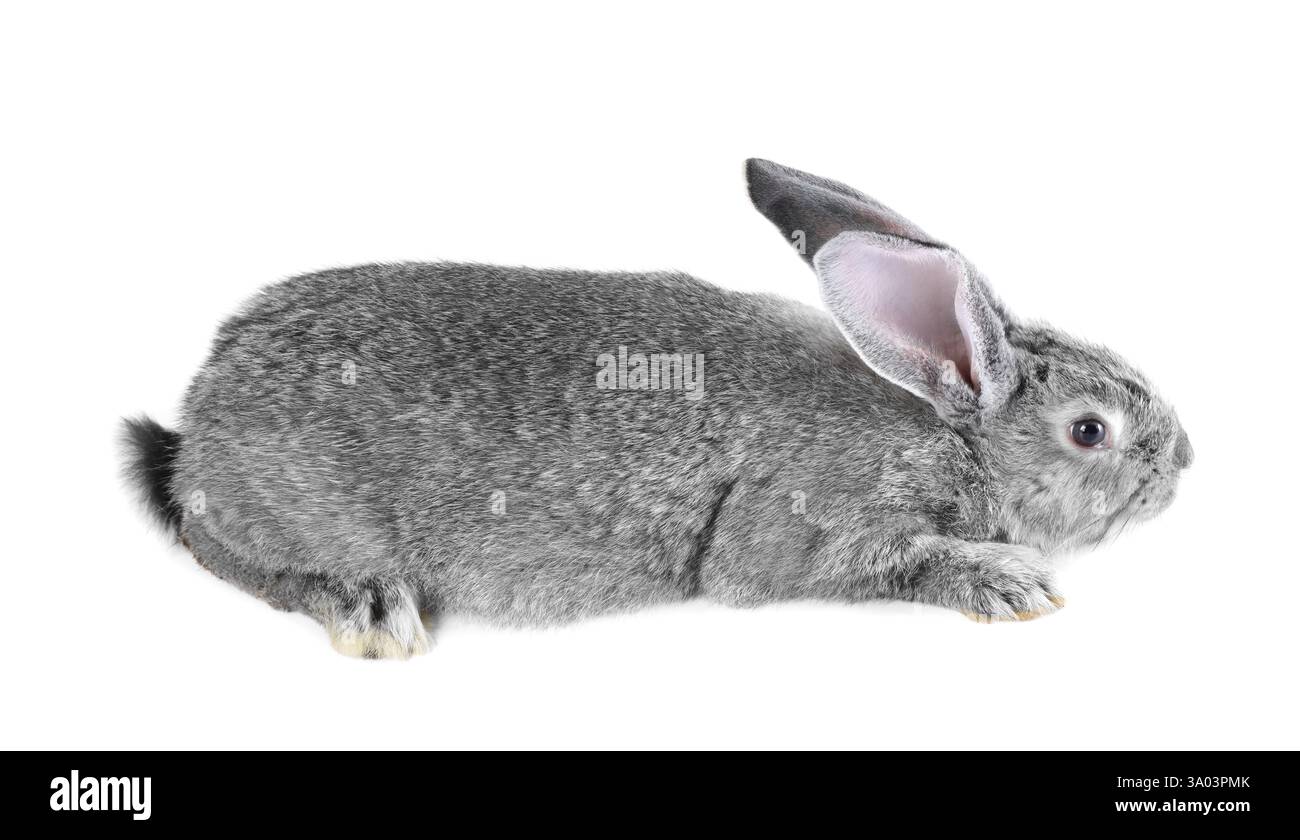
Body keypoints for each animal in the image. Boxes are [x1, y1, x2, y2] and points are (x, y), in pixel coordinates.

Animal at [121, 158, 1193, 658]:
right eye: (1090, 431)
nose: (1183, 466)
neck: (947, 432)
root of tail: (201, 413)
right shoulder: (812, 531)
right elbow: (894, 560)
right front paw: (1009, 583)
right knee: (220, 549)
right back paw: (367, 605)